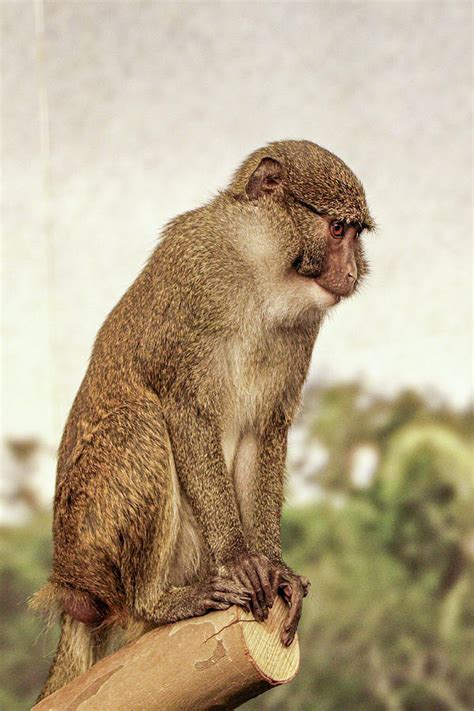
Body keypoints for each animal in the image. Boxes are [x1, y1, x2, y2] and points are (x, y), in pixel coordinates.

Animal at [31, 139, 374, 700]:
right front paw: (238, 558)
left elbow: (263, 433)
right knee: (141, 423)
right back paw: (157, 601)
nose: (352, 273)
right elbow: (184, 409)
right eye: (337, 230)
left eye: (357, 233)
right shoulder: (196, 281)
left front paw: (275, 567)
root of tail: (69, 588)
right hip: (93, 552)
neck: (257, 269)